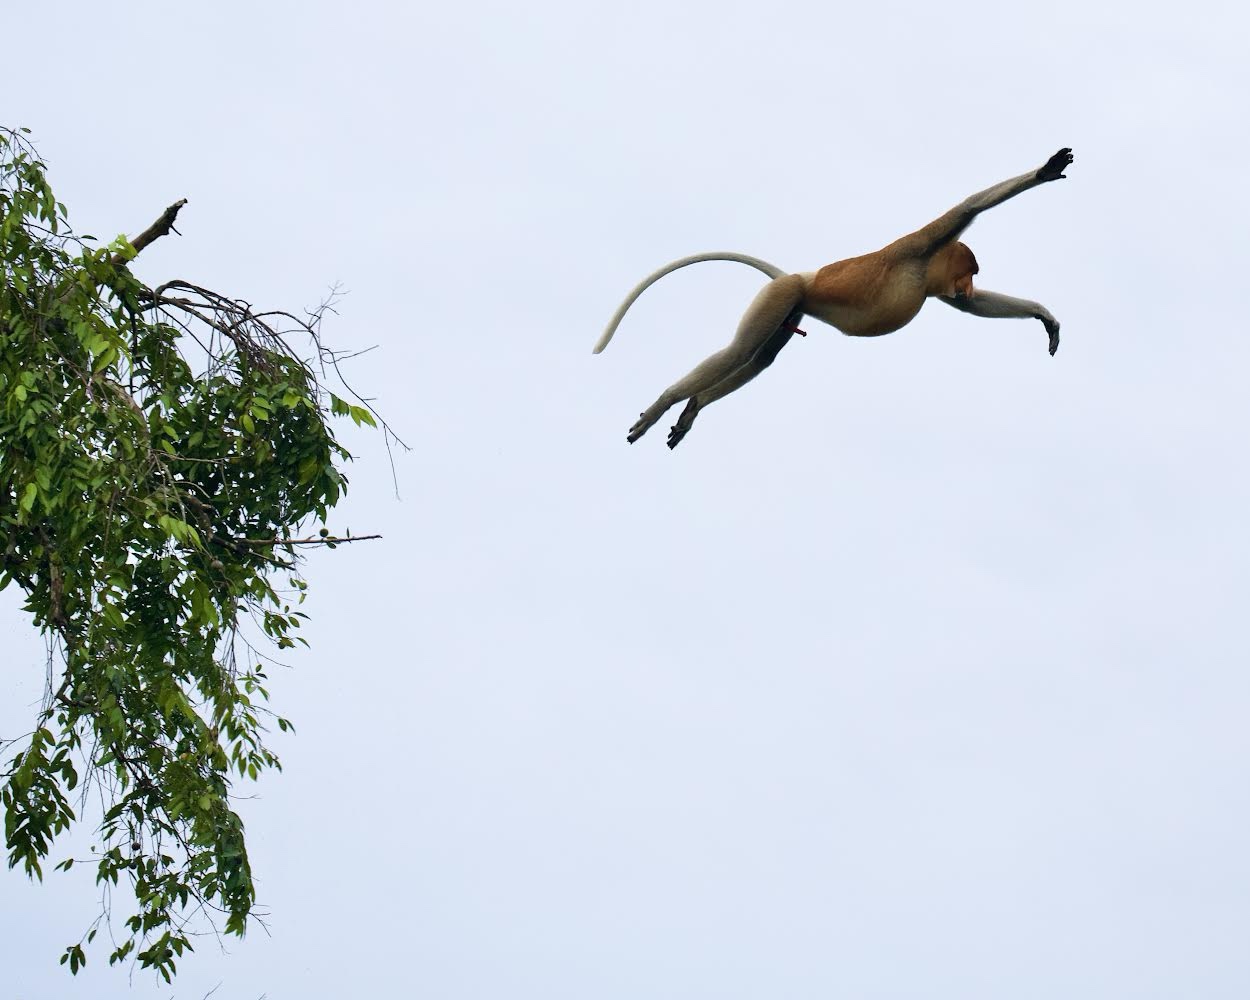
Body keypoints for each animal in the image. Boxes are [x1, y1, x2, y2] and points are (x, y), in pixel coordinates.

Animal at [596, 148, 1073, 449]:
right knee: (740, 351)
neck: (927, 266)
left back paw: (693, 408)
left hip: (791, 305)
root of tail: (800, 277)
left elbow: (973, 308)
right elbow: (968, 207)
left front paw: (1044, 317)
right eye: (970, 271)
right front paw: (1045, 170)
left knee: (761, 358)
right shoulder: (919, 246)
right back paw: (664, 406)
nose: (968, 285)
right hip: (782, 295)